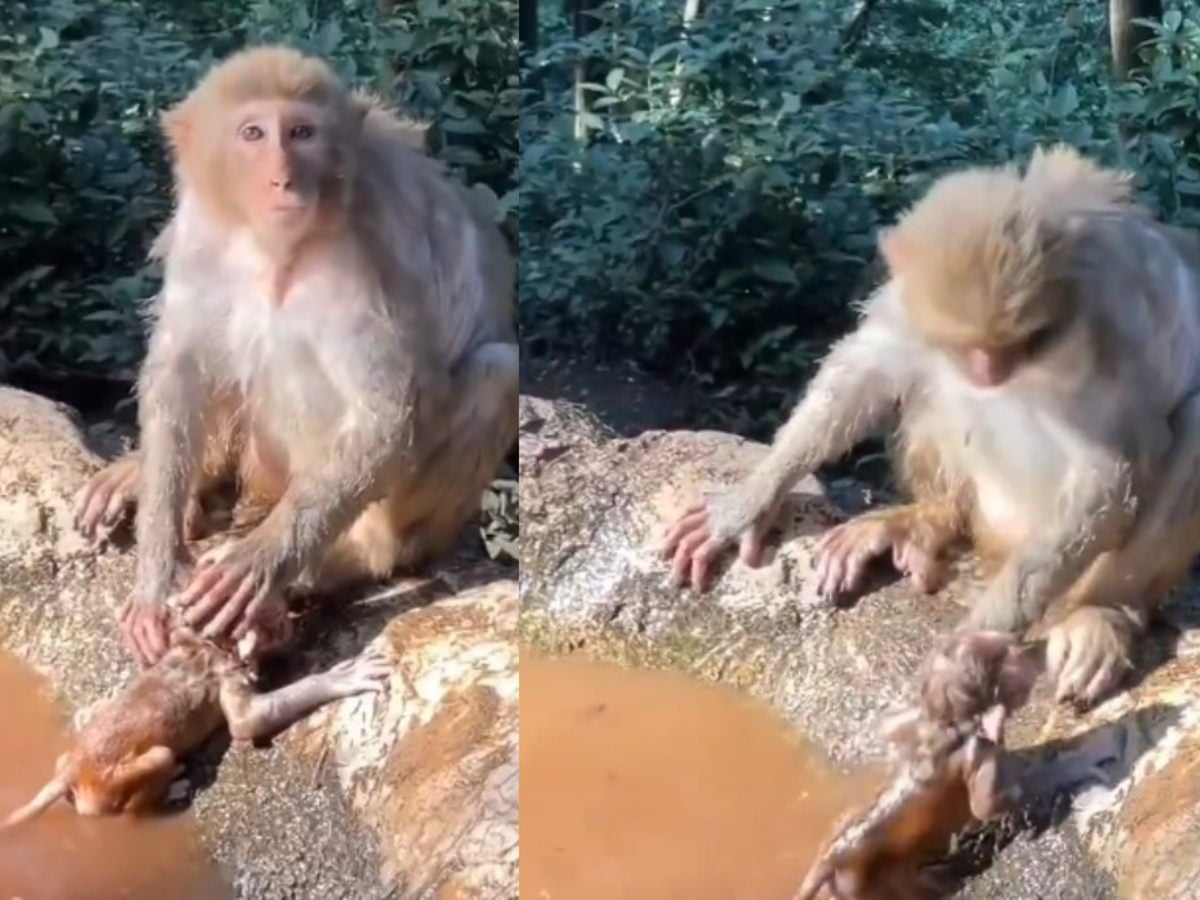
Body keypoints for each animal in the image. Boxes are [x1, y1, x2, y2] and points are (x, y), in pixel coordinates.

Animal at [0, 621, 389, 827]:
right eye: (272, 623)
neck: (209, 641)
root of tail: (73, 769)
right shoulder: (228, 674)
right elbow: (248, 723)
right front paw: (337, 679)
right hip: (107, 785)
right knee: (141, 788)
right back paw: (171, 786)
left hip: (67, 759)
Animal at [72, 46, 518, 666]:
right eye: (253, 133)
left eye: (302, 133)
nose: (282, 177)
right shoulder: (202, 229)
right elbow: (180, 371)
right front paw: (156, 573)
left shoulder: (359, 257)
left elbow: (392, 414)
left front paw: (257, 565)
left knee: (496, 369)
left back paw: (333, 565)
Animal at [665, 144, 1200, 706]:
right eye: (969, 346)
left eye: (1023, 341)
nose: (989, 372)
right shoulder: (913, 301)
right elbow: (871, 366)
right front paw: (744, 507)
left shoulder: (1115, 322)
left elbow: (1110, 470)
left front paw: (966, 651)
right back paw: (930, 519)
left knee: (1191, 421)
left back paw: (1104, 612)